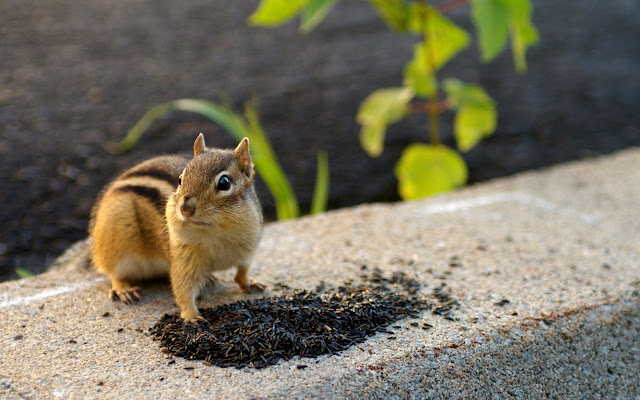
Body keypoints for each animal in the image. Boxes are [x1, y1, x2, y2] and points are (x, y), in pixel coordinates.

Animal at [89, 133, 265, 323]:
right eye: (180, 179)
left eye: (224, 183)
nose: (185, 209)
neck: (216, 232)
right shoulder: (183, 257)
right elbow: (183, 288)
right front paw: (191, 316)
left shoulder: (247, 251)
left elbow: (242, 273)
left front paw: (250, 284)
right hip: (116, 238)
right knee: (114, 272)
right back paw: (124, 289)